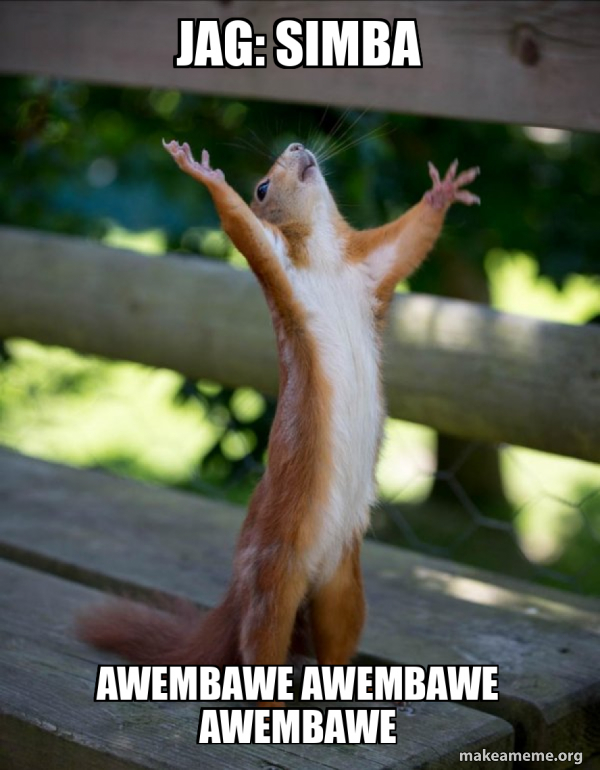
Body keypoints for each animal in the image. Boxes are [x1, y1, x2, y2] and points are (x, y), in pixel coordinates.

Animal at [77, 139, 479, 675]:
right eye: (262, 187)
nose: (296, 146)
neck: (326, 259)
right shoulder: (278, 265)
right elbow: (241, 227)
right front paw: (204, 173)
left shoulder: (372, 266)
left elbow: (410, 239)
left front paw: (442, 192)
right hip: (272, 581)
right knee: (261, 646)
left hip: (344, 589)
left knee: (336, 640)